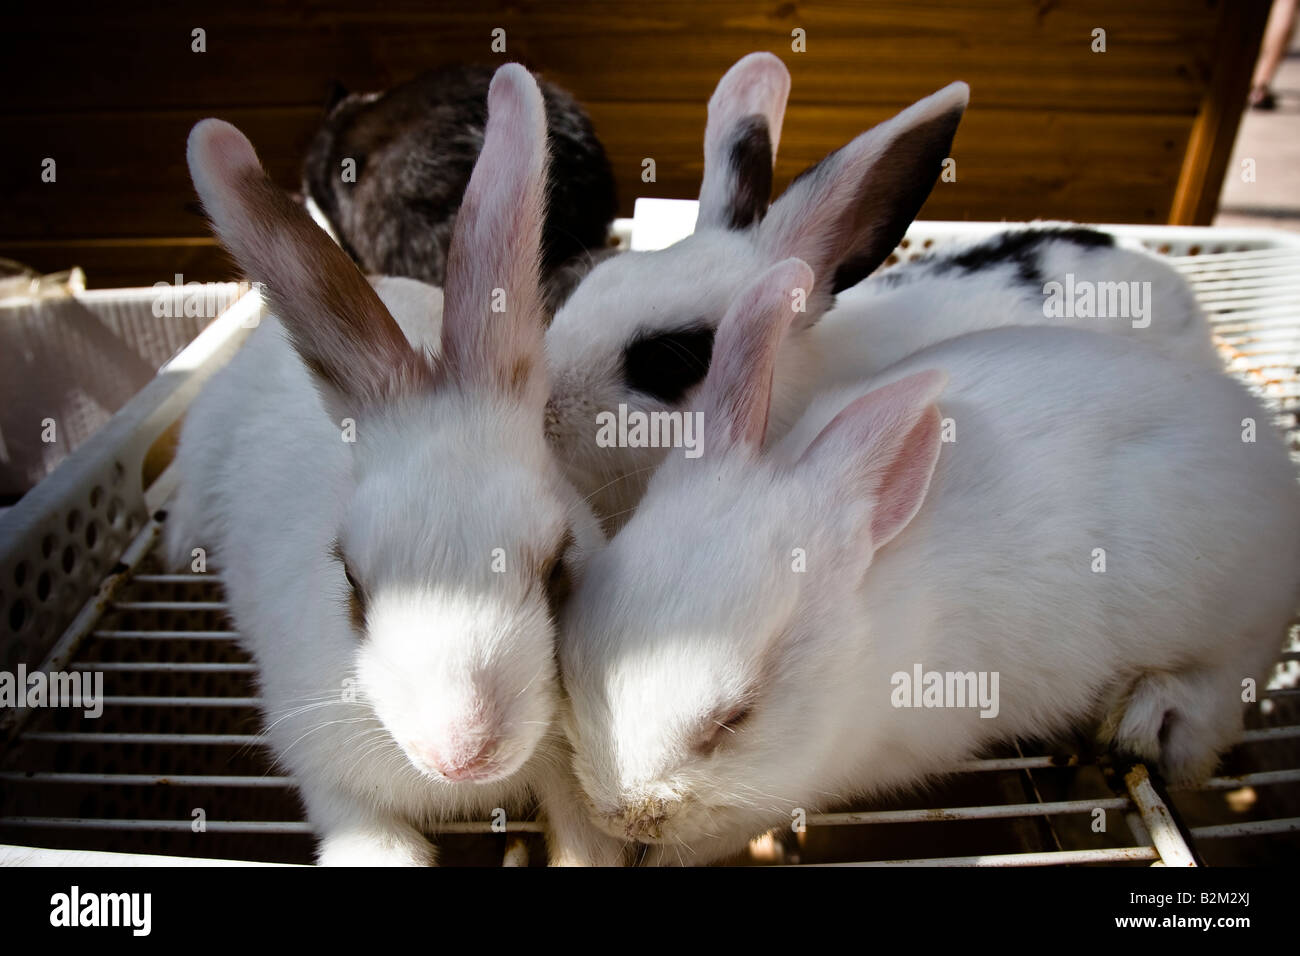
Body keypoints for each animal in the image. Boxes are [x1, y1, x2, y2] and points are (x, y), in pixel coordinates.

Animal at [557, 256, 1300, 866]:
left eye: (735, 719)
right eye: (579, 661)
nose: (624, 813)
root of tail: (1268, 451)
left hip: (1227, 614)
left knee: (1231, 675)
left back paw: (1156, 721)